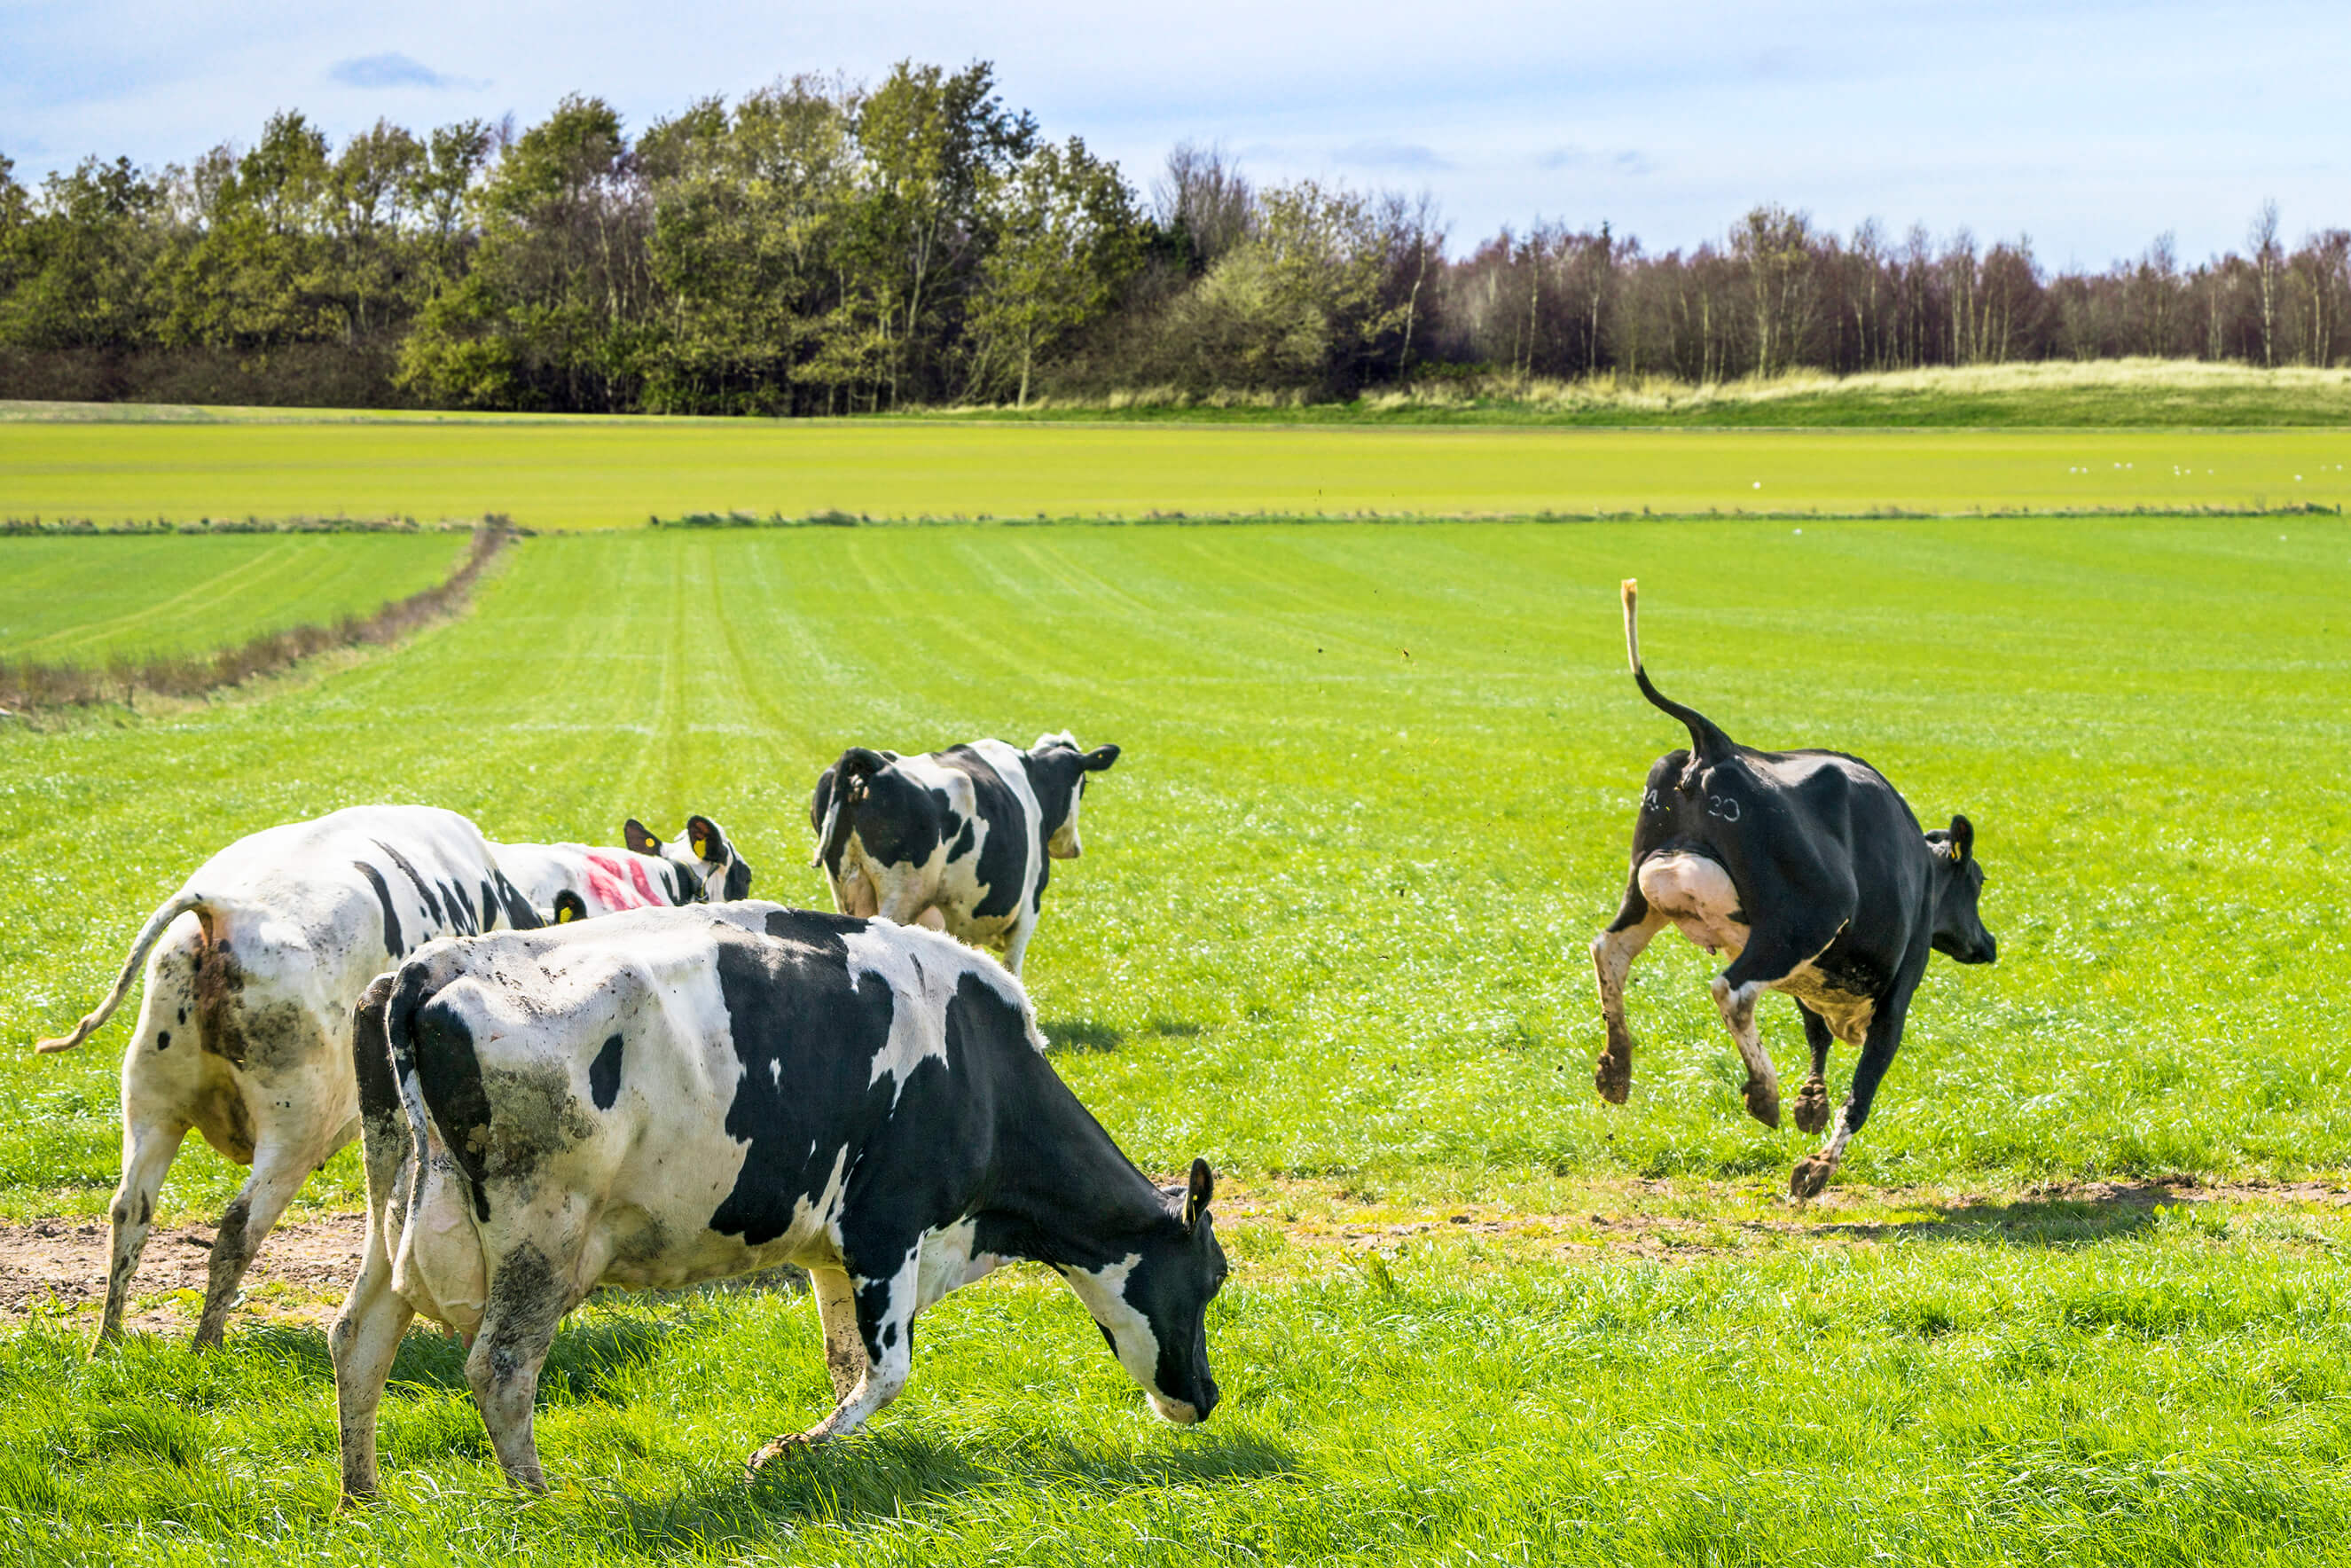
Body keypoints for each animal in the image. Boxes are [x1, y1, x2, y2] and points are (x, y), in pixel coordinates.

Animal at [32, 805, 550, 1347]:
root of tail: (224, 910)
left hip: (152, 1102)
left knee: (130, 1208)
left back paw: (108, 1341)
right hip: (294, 1130)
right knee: (238, 1226)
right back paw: (205, 1344)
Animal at [331, 903, 1226, 1501]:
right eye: (1213, 1280)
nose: (1209, 1397)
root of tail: (432, 967)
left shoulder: (831, 1251)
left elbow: (846, 1364)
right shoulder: (886, 1229)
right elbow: (888, 1373)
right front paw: (778, 1454)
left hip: (389, 1205)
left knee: (358, 1339)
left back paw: (362, 1500)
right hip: (539, 1235)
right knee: (502, 1366)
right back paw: (539, 1503)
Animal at [809, 733, 1119, 974]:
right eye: (1083, 785)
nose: (1074, 847)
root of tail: (871, 763)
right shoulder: (1029, 908)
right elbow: (1012, 969)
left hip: (848, 890)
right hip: (901, 897)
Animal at [1590, 581, 1997, 1198]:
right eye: (1975, 882)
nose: (1988, 943)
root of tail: (1718, 746)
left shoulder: (1814, 981)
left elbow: (1816, 1036)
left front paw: (1812, 1104)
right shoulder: (1898, 992)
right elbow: (1864, 1088)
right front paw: (1818, 1166)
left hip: (1646, 894)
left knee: (1609, 951)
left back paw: (1617, 1067)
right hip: (1800, 920)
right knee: (1731, 990)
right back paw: (1764, 1093)